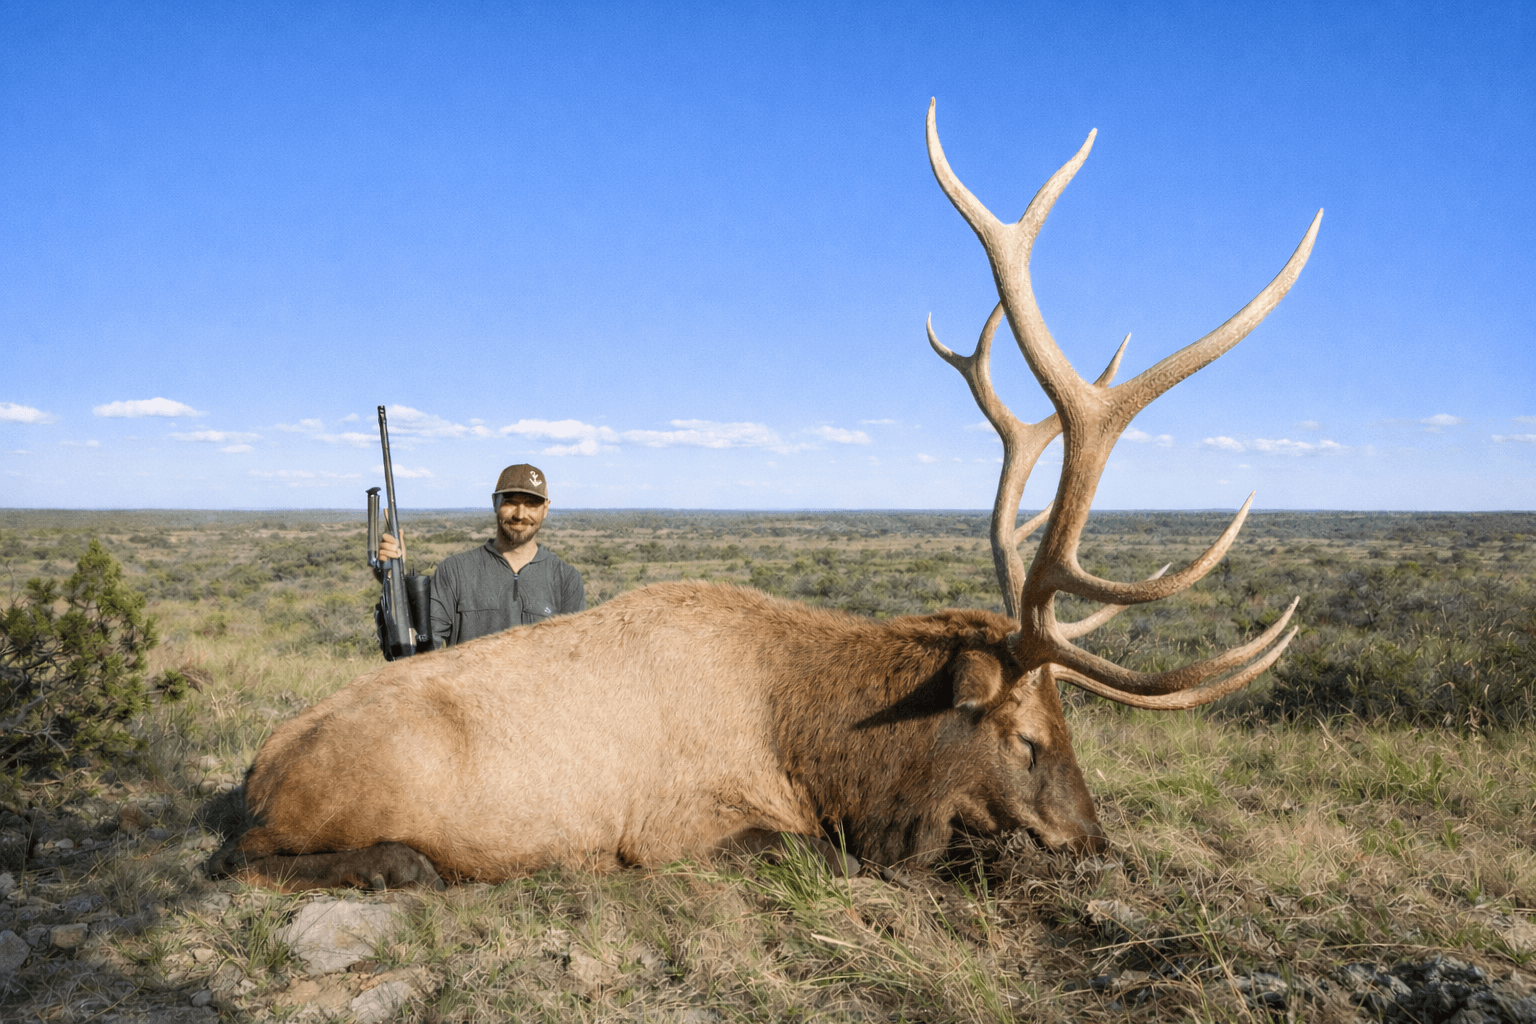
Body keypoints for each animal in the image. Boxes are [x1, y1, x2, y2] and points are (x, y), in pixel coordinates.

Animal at [206, 102, 1320, 891]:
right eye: (1029, 737)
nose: (1102, 848)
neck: (819, 740)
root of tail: (255, 774)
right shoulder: (680, 827)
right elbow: (818, 851)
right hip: (312, 816)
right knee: (247, 859)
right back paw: (404, 862)